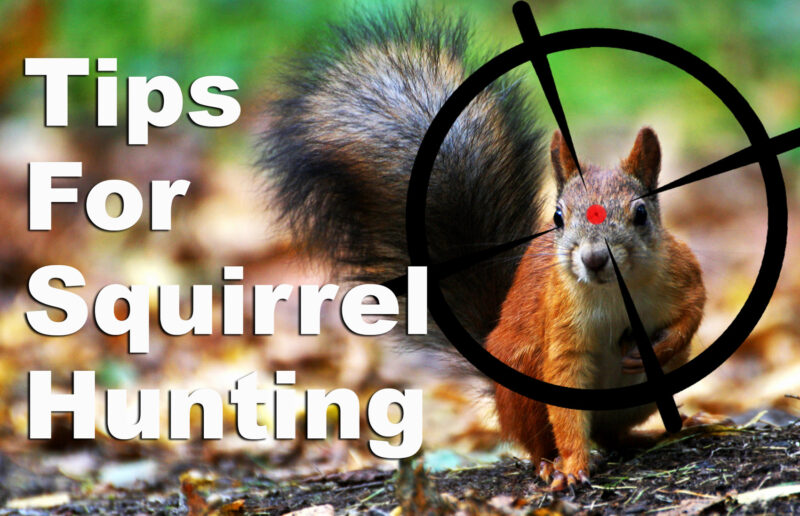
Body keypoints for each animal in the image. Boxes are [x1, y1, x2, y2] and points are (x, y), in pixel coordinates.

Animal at [259, 7, 706, 489]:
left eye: (641, 214)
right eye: (558, 217)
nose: (593, 258)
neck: (615, 293)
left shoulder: (680, 271)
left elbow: (693, 310)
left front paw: (660, 347)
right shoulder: (562, 324)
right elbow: (565, 387)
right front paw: (572, 467)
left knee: (614, 434)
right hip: (522, 385)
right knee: (542, 440)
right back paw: (552, 463)